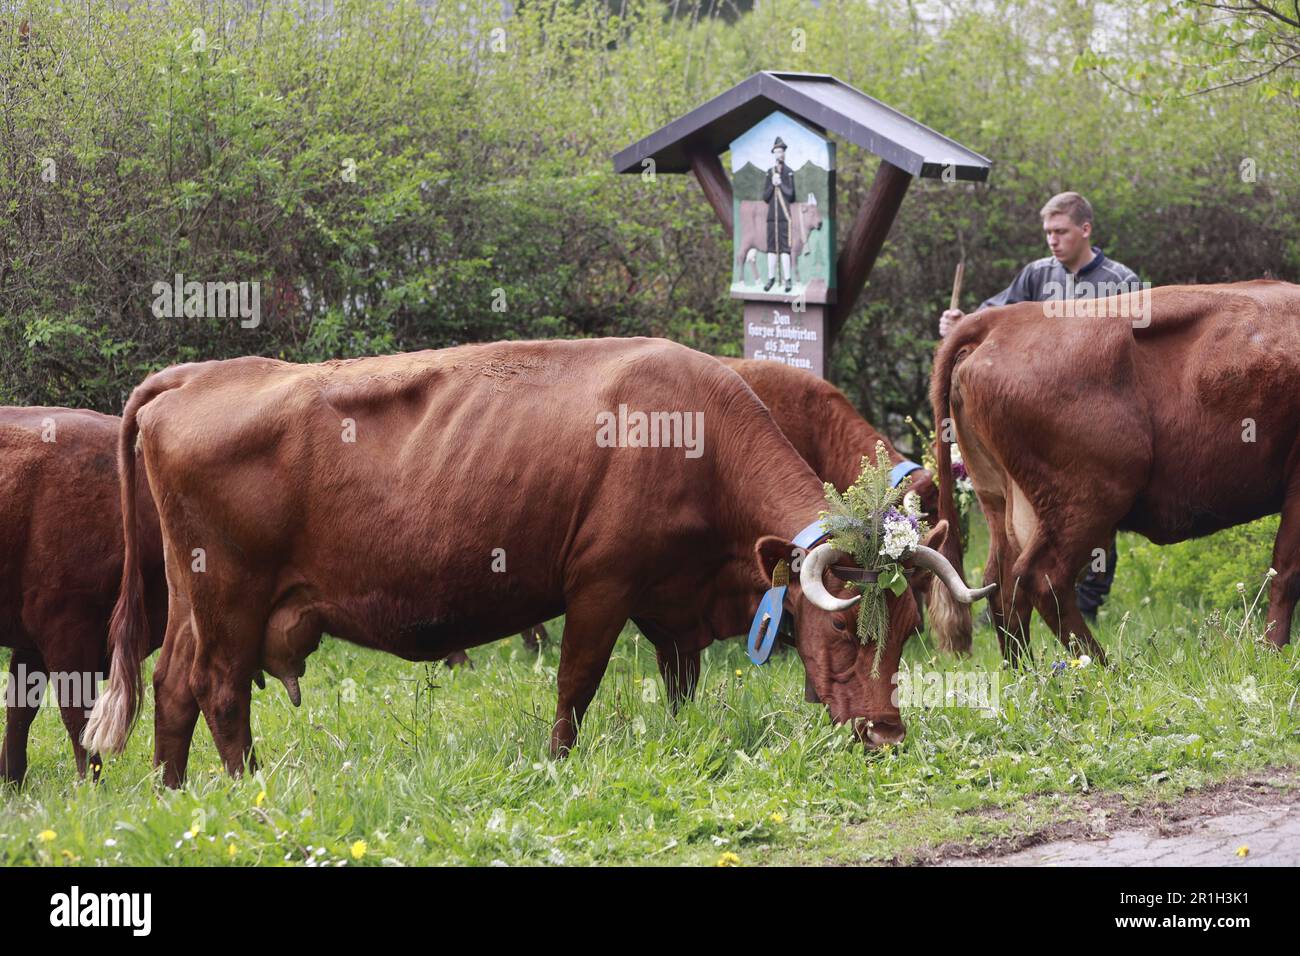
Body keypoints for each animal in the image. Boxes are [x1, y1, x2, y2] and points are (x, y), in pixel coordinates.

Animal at [0, 408, 167, 784]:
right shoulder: (66, 632)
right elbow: (77, 714)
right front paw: (90, 784)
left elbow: (20, 709)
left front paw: (11, 780)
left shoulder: (33, 642)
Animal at [83, 338, 991, 787]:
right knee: (220, 691)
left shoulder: (670, 602)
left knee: (174, 686)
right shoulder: (601, 584)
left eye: (902, 632)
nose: (887, 733)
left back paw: (173, 791)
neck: (693, 428)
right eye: (843, 634)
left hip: (196, 599)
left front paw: (681, 736)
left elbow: (681, 680)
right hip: (228, 596)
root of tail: (191, 376)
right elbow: (574, 687)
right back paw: (247, 789)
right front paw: (556, 764)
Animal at [929, 280, 1300, 663]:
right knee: (1042, 578)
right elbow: (1286, 572)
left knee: (1003, 588)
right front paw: (1275, 653)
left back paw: (1026, 671)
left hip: (1001, 500)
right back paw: (1103, 667)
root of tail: (1001, 320)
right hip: (1089, 500)